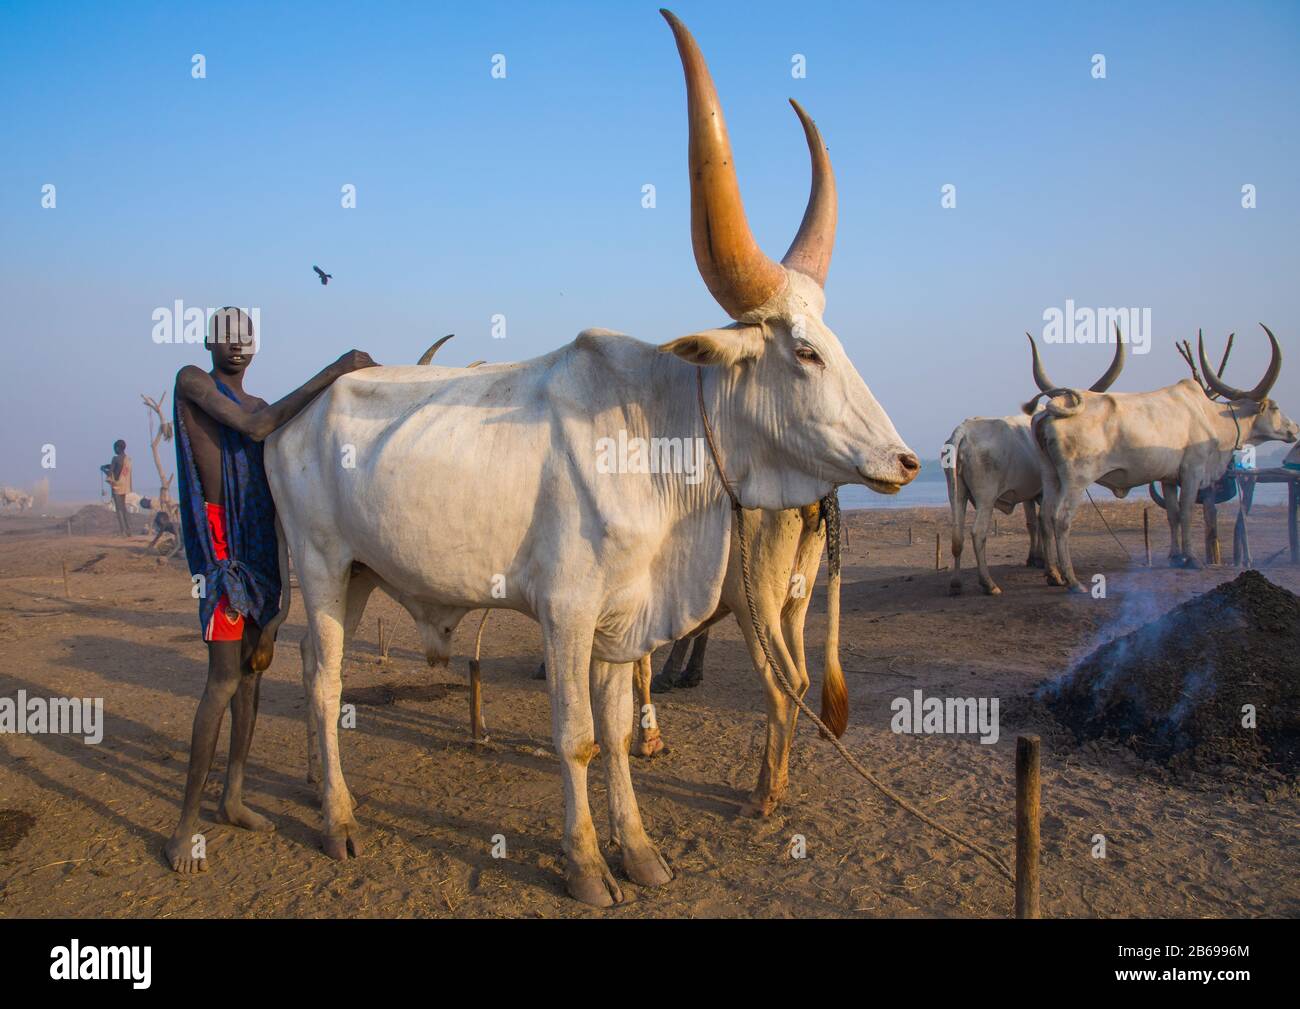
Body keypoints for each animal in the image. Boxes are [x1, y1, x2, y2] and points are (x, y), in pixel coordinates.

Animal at [261, 9, 916, 907]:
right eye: (806, 352)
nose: (906, 459)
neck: (657, 435)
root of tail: (300, 411)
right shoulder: (566, 612)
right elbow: (574, 736)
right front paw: (584, 864)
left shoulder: (622, 620)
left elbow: (612, 733)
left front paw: (637, 849)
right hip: (322, 566)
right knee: (322, 681)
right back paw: (337, 818)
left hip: (361, 572)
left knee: (308, 671)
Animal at [944, 332, 1125, 595]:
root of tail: (962, 432)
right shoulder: (1043, 490)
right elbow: (1044, 521)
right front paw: (1051, 570)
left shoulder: (1029, 493)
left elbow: (1033, 523)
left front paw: (1035, 558)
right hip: (986, 496)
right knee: (978, 533)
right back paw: (989, 584)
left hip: (957, 493)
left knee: (956, 534)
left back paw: (956, 584)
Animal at [1034, 326, 1296, 591]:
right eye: (1274, 407)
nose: (1294, 429)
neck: (1209, 416)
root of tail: (1050, 412)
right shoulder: (1192, 472)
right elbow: (1186, 511)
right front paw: (1191, 558)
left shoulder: (1167, 478)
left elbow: (1172, 513)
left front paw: (1175, 556)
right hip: (1076, 481)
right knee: (1061, 519)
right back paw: (1072, 579)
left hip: (1051, 477)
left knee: (1045, 515)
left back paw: (1053, 575)